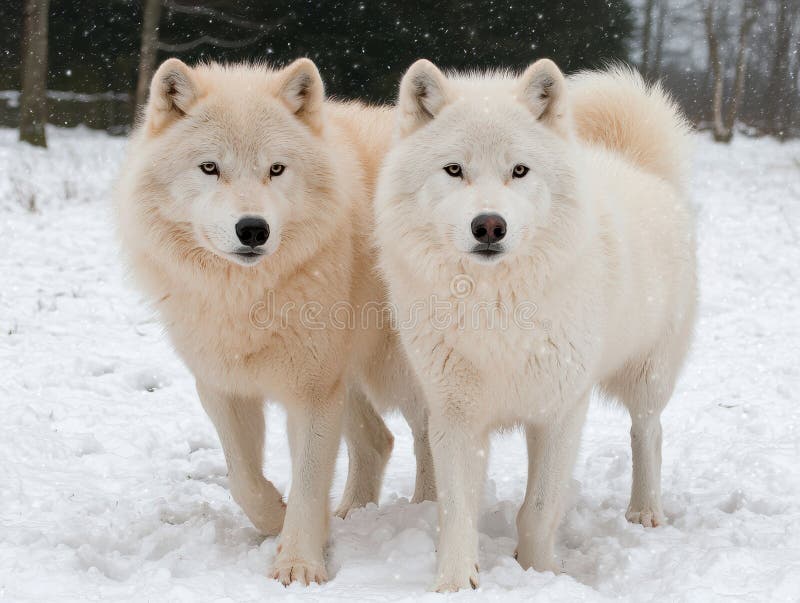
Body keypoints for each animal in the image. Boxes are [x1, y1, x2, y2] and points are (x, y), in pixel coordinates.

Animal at [115, 58, 433, 585]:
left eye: (276, 169)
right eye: (210, 167)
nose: (252, 229)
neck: (246, 298)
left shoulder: (312, 394)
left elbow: (307, 483)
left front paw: (299, 564)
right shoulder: (222, 385)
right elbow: (243, 479)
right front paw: (277, 521)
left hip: (398, 371)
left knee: (429, 437)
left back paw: (427, 510)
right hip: (352, 381)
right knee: (378, 441)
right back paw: (351, 514)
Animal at [373, 60, 697, 591]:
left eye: (519, 170)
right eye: (454, 169)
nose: (489, 225)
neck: (495, 308)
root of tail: (636, 163)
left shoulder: (560, 410)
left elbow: (541, 507)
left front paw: (541, 572)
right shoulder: (455, 416)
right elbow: (457, 509)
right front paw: (455, 582)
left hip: (649, 376)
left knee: (648, 432)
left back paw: (644, 512)